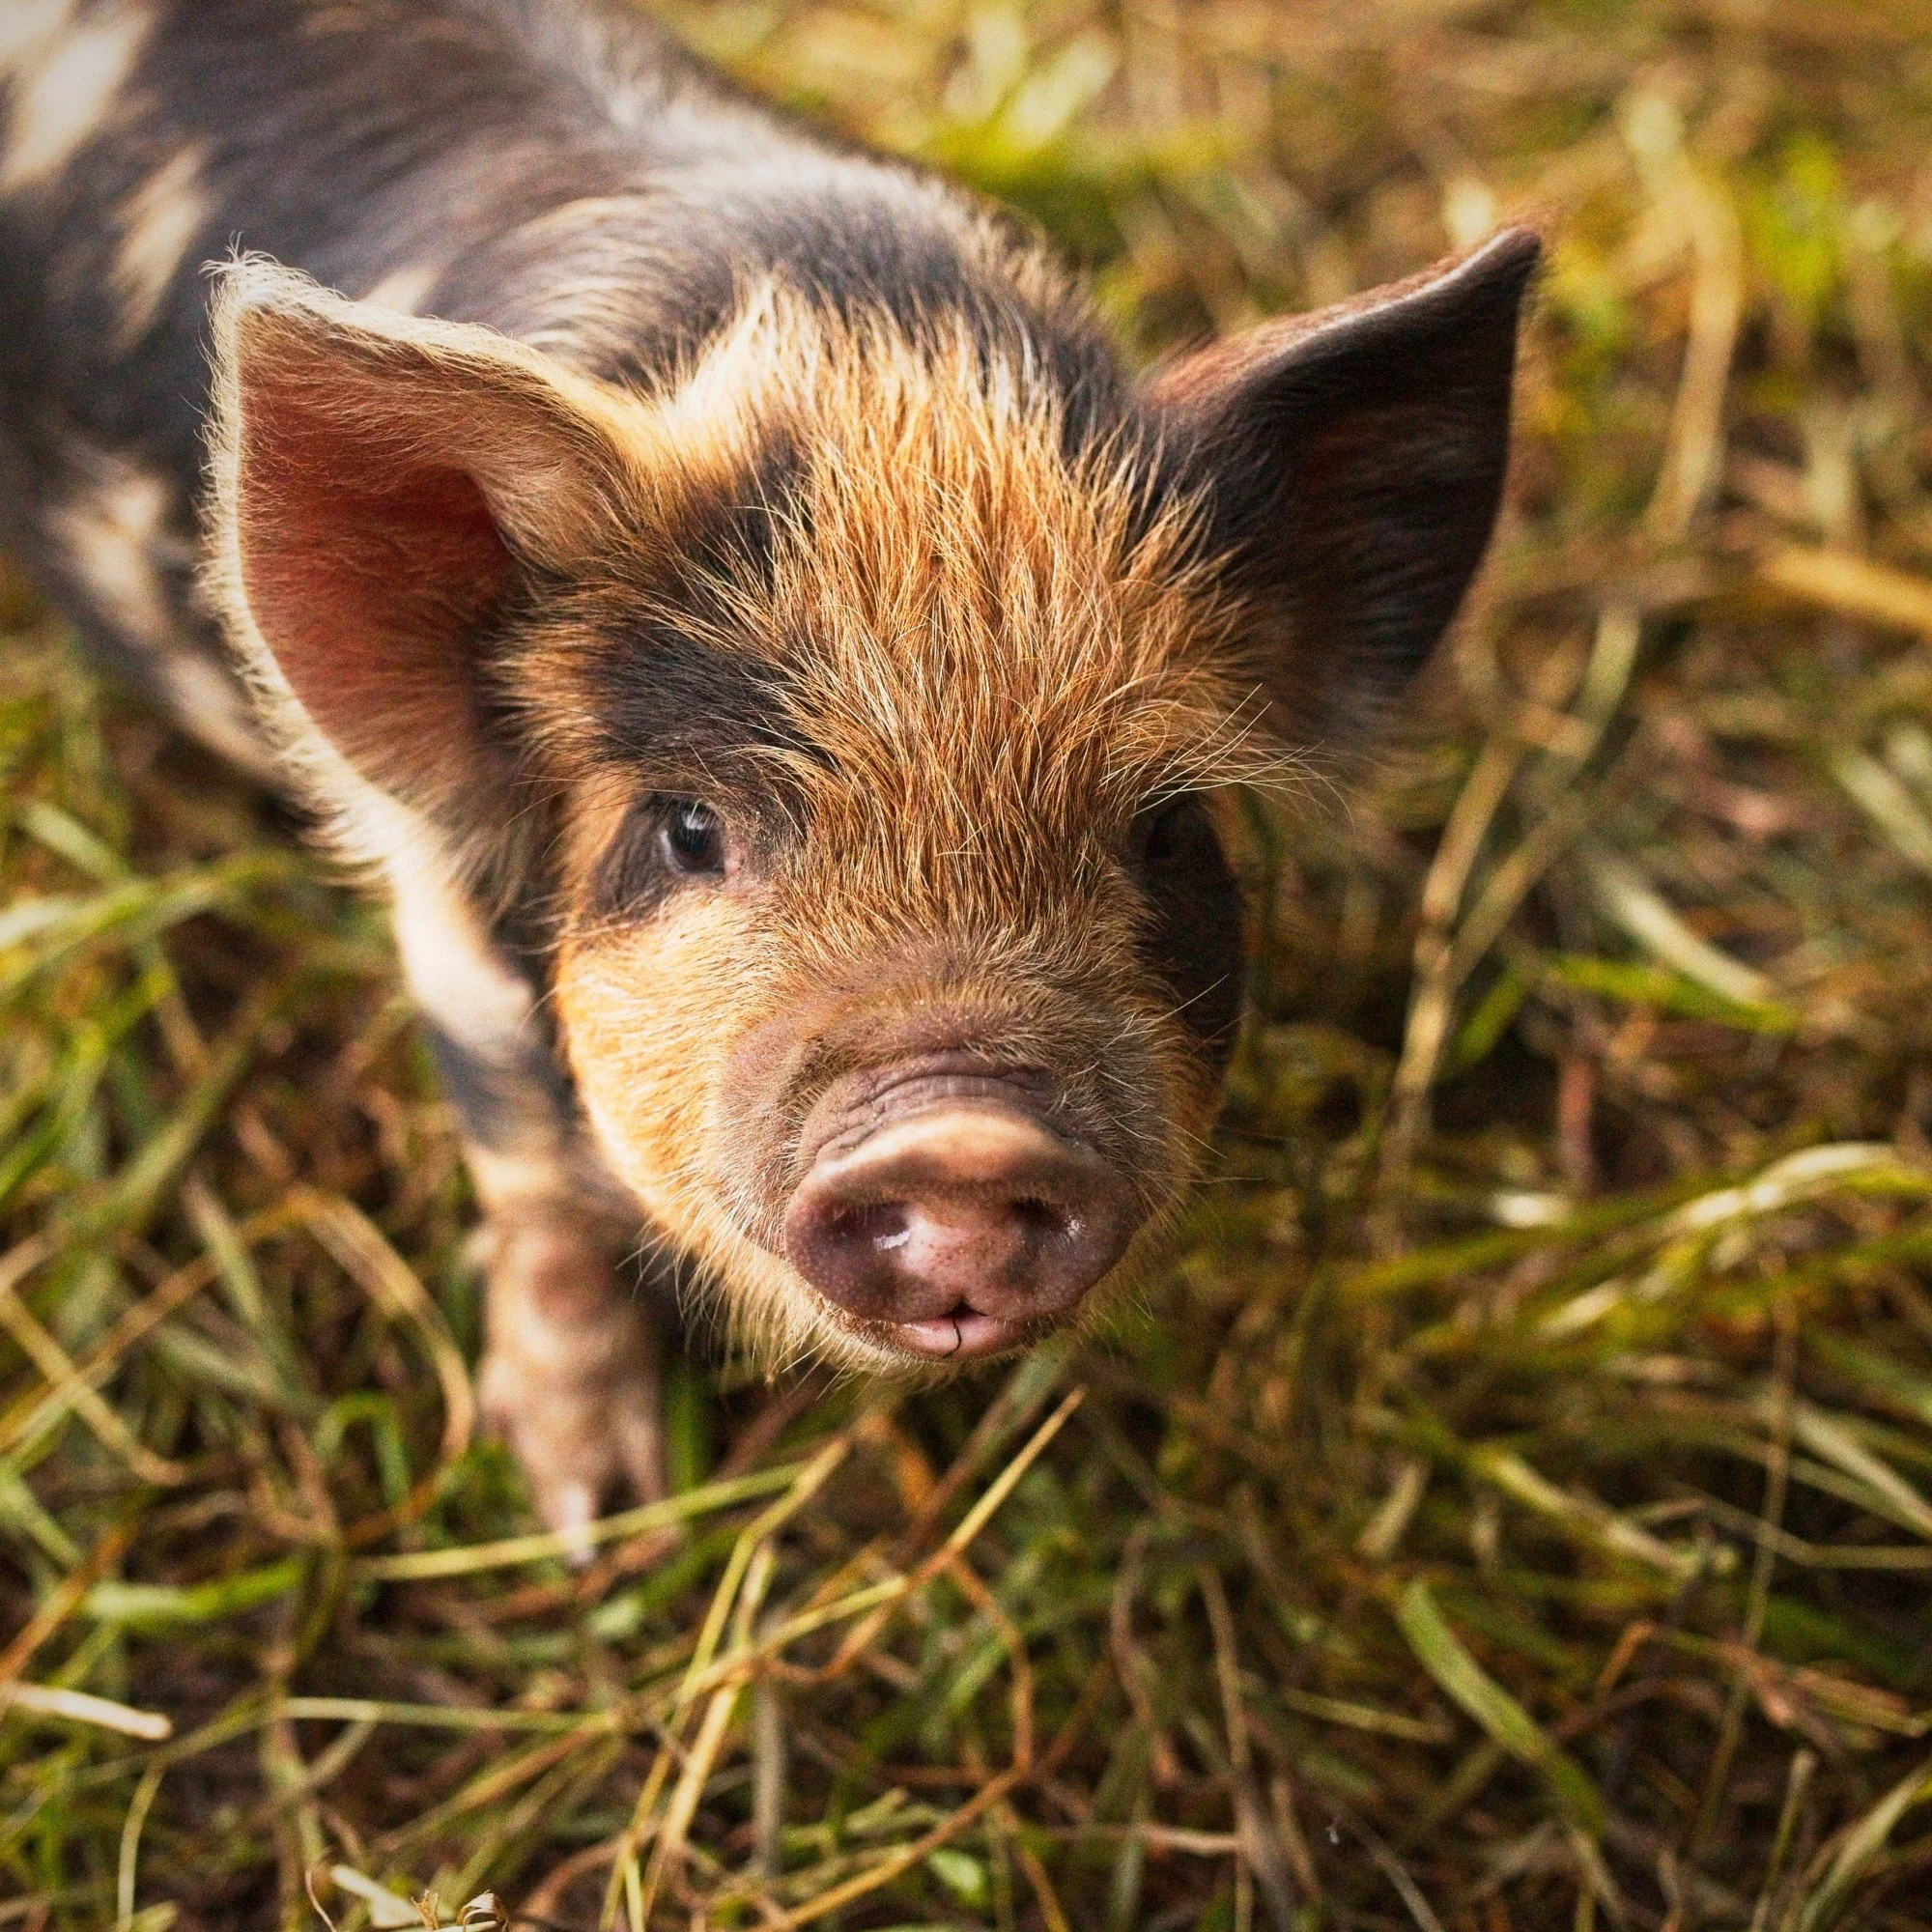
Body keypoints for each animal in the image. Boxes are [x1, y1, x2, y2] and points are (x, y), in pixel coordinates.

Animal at [0, 0, 1537, 1531]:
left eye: (1164, 831)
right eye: (688, 828)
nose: (963, 1138)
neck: (859, 337)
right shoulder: (438, 908)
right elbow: (531, 1171)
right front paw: (586, 1510)